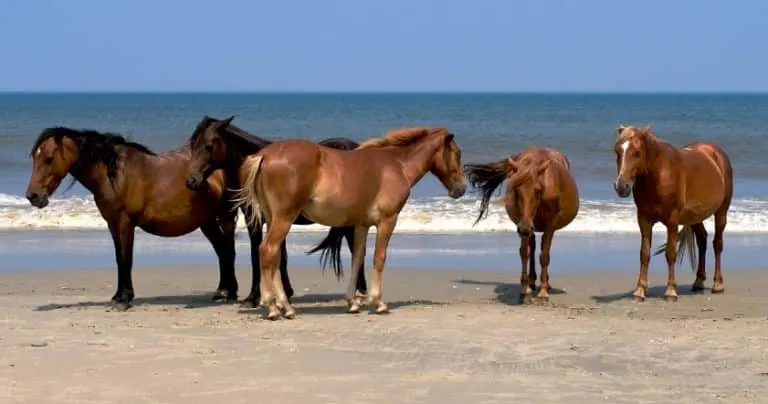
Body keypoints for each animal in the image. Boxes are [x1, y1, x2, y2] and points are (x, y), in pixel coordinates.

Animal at [185, 115, 368, 306]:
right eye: (192, 144)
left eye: (208, 146)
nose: (192, 181)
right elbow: (280, 256)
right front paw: (285, 292)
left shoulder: (257, 220)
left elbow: (256, 254)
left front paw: (254, 296)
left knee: (358, 251)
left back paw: (360, 292)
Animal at [232, 126, 466, 320]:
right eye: (457, 153)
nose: (461, 189)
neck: (395, 165)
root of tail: (264, 155)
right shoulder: (387, 221)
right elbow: (379, 258)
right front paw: (378, 303)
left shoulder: (361, 224)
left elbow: (357, 258)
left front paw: (352, 302)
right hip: (284, 219)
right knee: (268, 251)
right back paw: (272, 307)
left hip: (274, 219)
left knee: (275, 256)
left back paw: (286, 307)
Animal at [465, 146, 579, 304]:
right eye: (517, 190)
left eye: (538, 190)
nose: (525, 227)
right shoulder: (522, 223)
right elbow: (525, 253)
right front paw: (524, 291)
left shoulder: (550, 224)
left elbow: (544, 255)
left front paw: (543, 293)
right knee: (533, 247)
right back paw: (531, 282)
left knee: (542, 247)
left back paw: (545, 283)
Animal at [612, 124, 733, 302]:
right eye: (617, 151)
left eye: (637, 151)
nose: (622, 187)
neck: (658, 175)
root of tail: (716, 153)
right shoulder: (644, 219)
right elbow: (644, 253)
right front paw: (640, 290)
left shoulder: (672, 220)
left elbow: (670, 253)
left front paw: (670, 291)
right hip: (695, 217)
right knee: (702, 240)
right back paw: (698, 281)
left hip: (721, 212)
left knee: (717, 243)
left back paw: (717, 284)